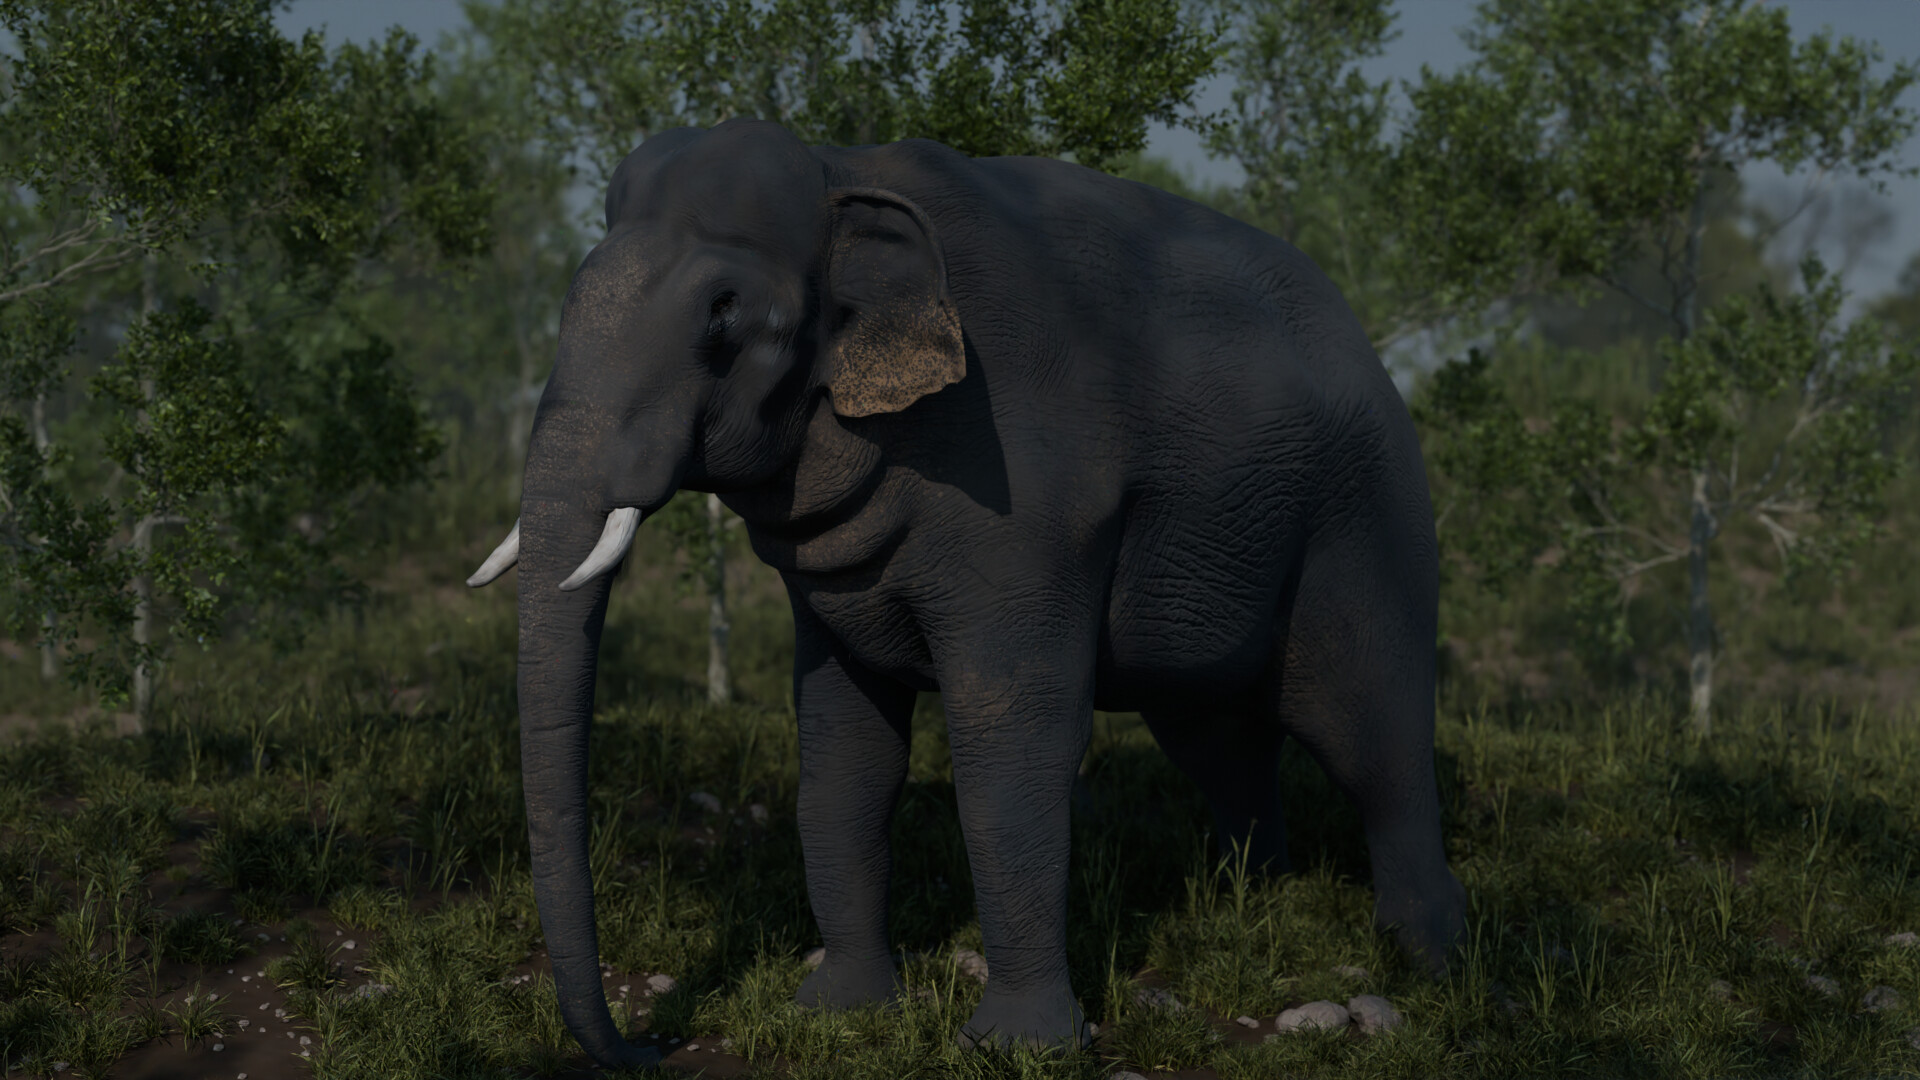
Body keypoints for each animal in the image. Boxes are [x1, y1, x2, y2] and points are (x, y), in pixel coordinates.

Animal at [467, 117, 1466, 1067]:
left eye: (723, 315)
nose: (648, 1046)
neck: (840, 169)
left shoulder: (1029, 497)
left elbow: (1008, 737)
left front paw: (1018, 1048)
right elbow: (842, 750)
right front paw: (837, 1012)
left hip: (1366, 519)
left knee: (1370, 732)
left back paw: (1427, 957)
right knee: (1219, 742)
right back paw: (1250, 913)